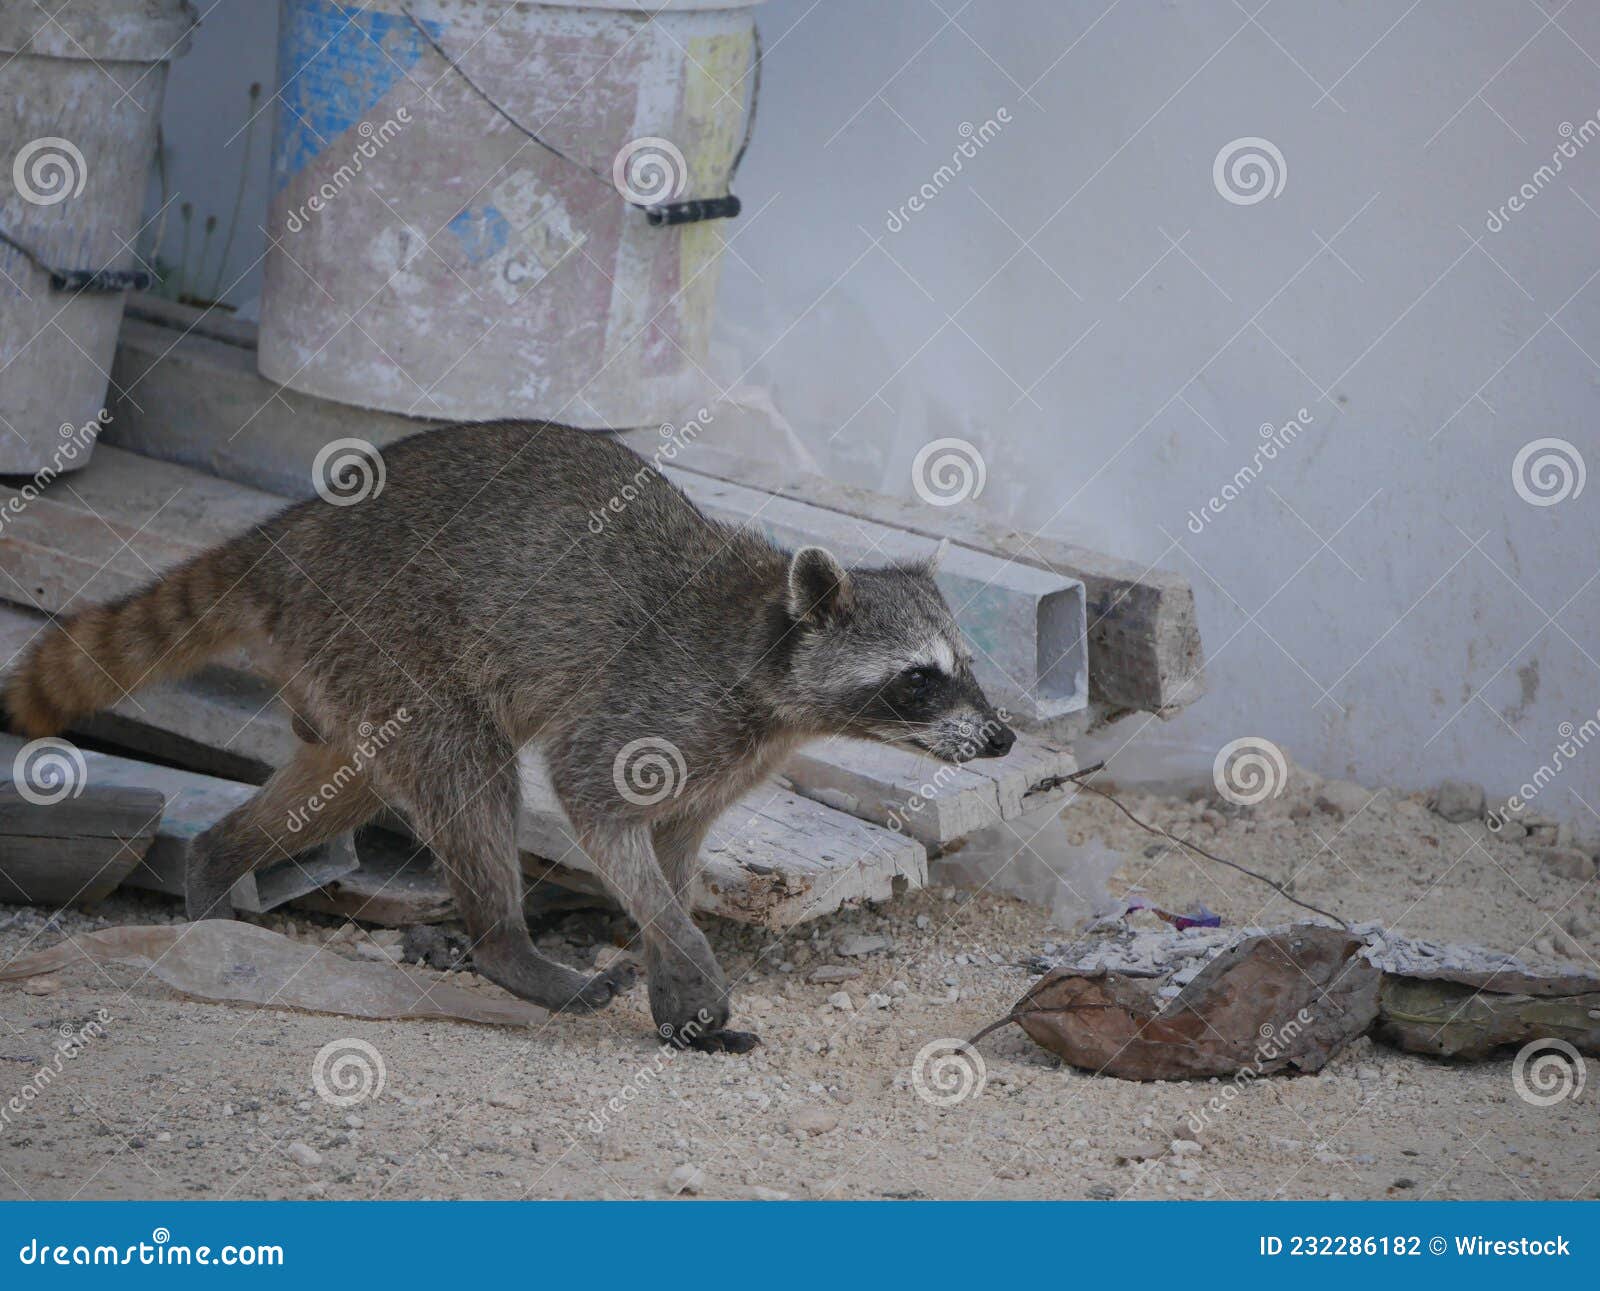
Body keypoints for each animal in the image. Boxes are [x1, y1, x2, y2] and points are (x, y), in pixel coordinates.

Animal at [4, 422, 1014, 1051]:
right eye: (919, 680)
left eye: (969, 664)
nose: (1004, 739)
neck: (770, 662)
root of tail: (292, 532)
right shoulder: (659, 702)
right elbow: (591, 799)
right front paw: (685, 950)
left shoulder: (727, 757)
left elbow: (674, 850)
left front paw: (670, 970)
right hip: (389, 632)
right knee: (469, 772)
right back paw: (505, 944)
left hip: (349, 666)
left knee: (348, 780)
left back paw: (217, 863)